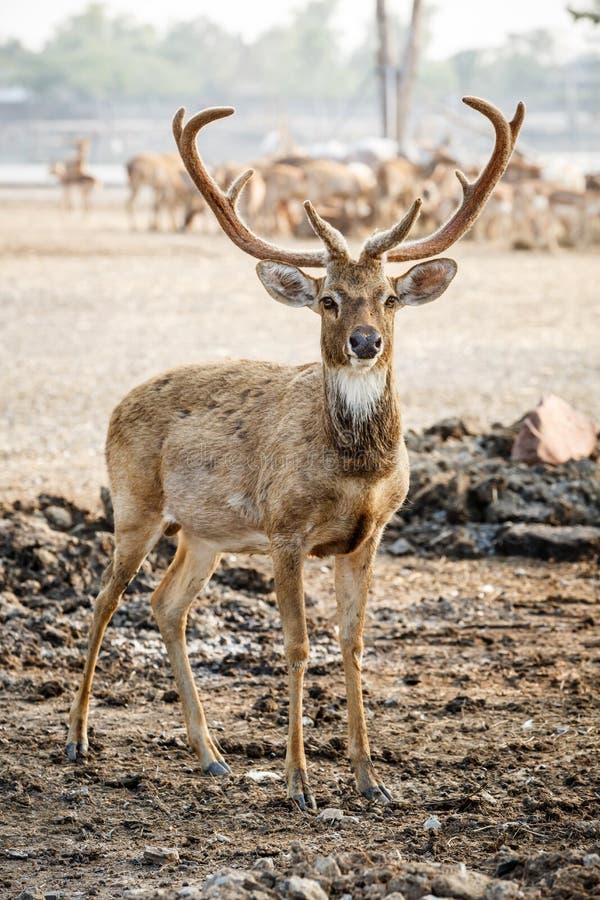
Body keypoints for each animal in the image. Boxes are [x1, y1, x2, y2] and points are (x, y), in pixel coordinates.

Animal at [66, 96, 524, 810]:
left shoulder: (369, 535)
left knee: (167, 605)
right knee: (104, 601)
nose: (365, 341)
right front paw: (299, 783)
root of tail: (118, 405)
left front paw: (370, 779)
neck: (356, 473)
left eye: (391, 297)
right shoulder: (285, 531)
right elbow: (298, 645)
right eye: (328, 299)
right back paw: (78, 740)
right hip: (135, 504)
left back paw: (212, 755)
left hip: (204, 533)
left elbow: (354, 643)